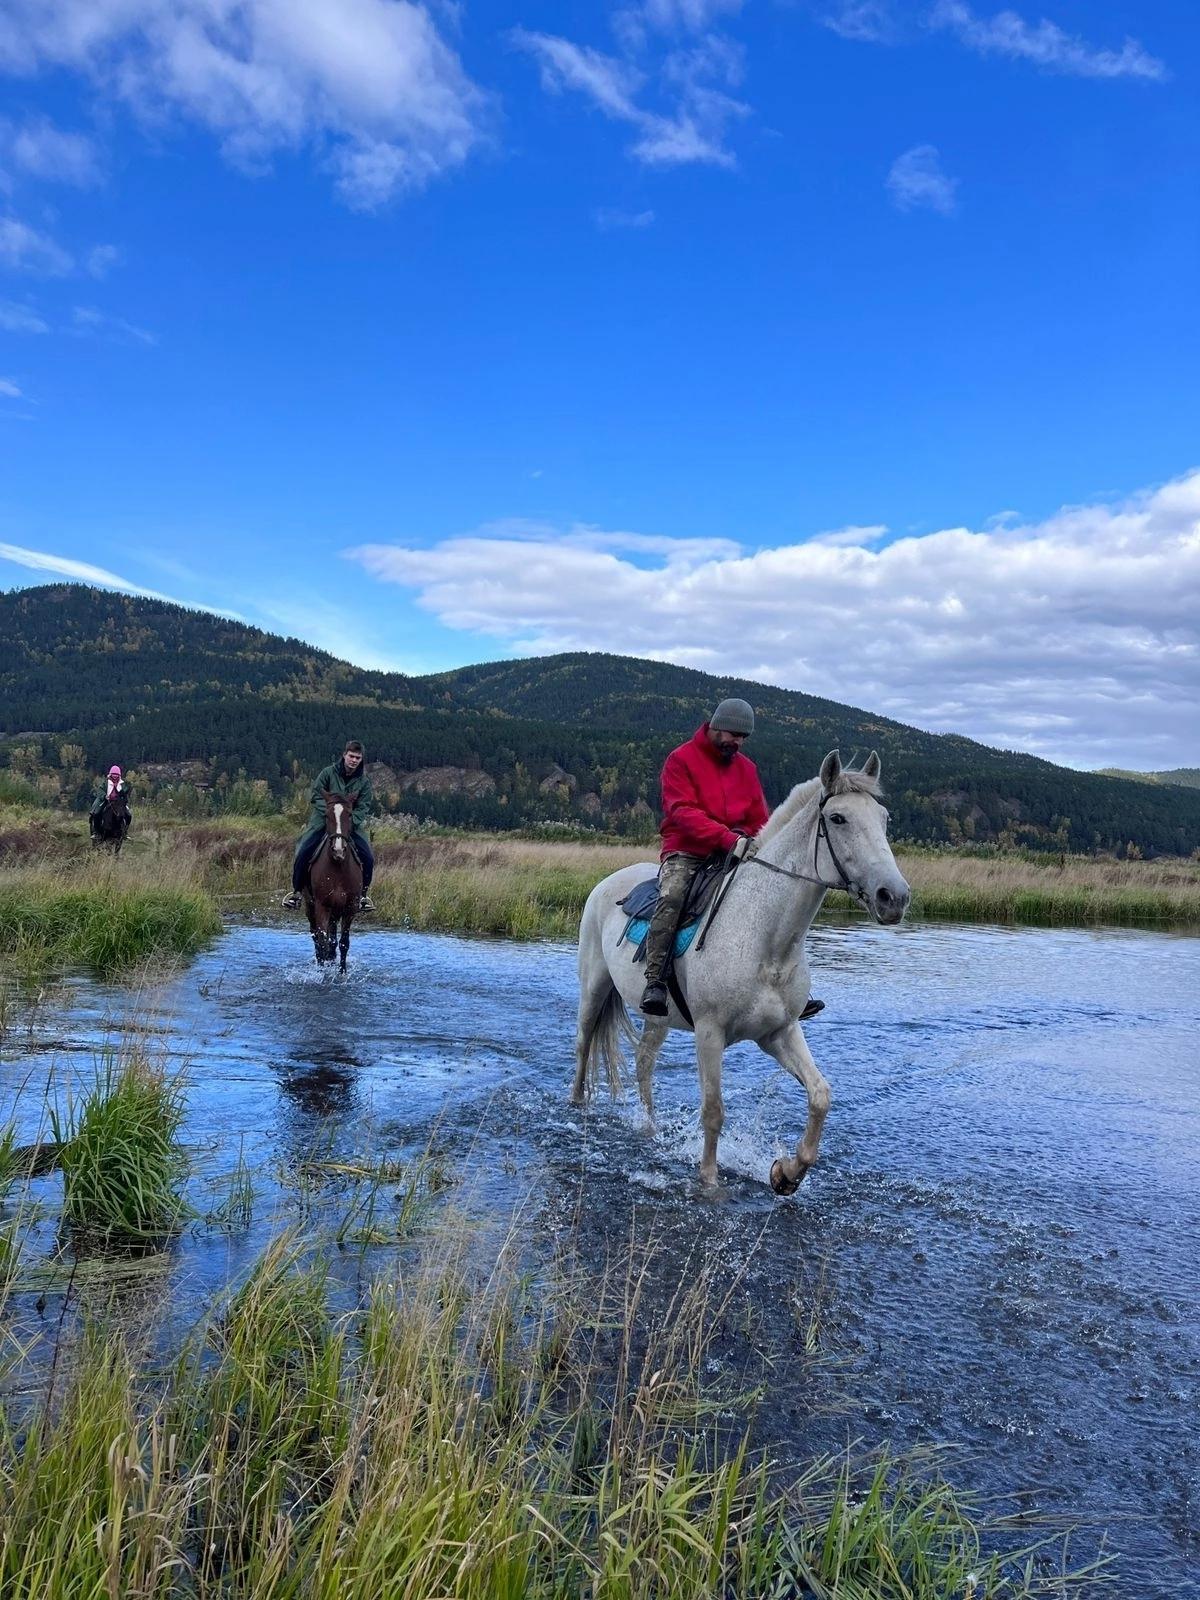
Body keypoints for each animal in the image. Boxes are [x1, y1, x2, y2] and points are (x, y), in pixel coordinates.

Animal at [302, 790, 364, 972]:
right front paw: (322, 972)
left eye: (349, 814)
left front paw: (342, 972)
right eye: (327, 815)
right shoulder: (321, 906)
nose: (338, 850)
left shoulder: (350, 908)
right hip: (311, 906)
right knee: (316, 937)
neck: (338, 866)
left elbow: (343, 942)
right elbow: (322, 941)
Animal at [572, 748, 908, 1190]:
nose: (894, 897)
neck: (765, 939)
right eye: (838, 818)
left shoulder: (780, 1032)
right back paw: (577, 1106)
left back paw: (650, 1129)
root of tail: (606, 883)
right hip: (594, 988)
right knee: (583, 1045)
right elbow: (713, 1111)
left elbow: (820, 1095)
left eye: (884, 819)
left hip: (656, 1015)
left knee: (644, 1063)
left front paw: (786, 1173)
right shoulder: (710, 1033)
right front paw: (710, 1183)